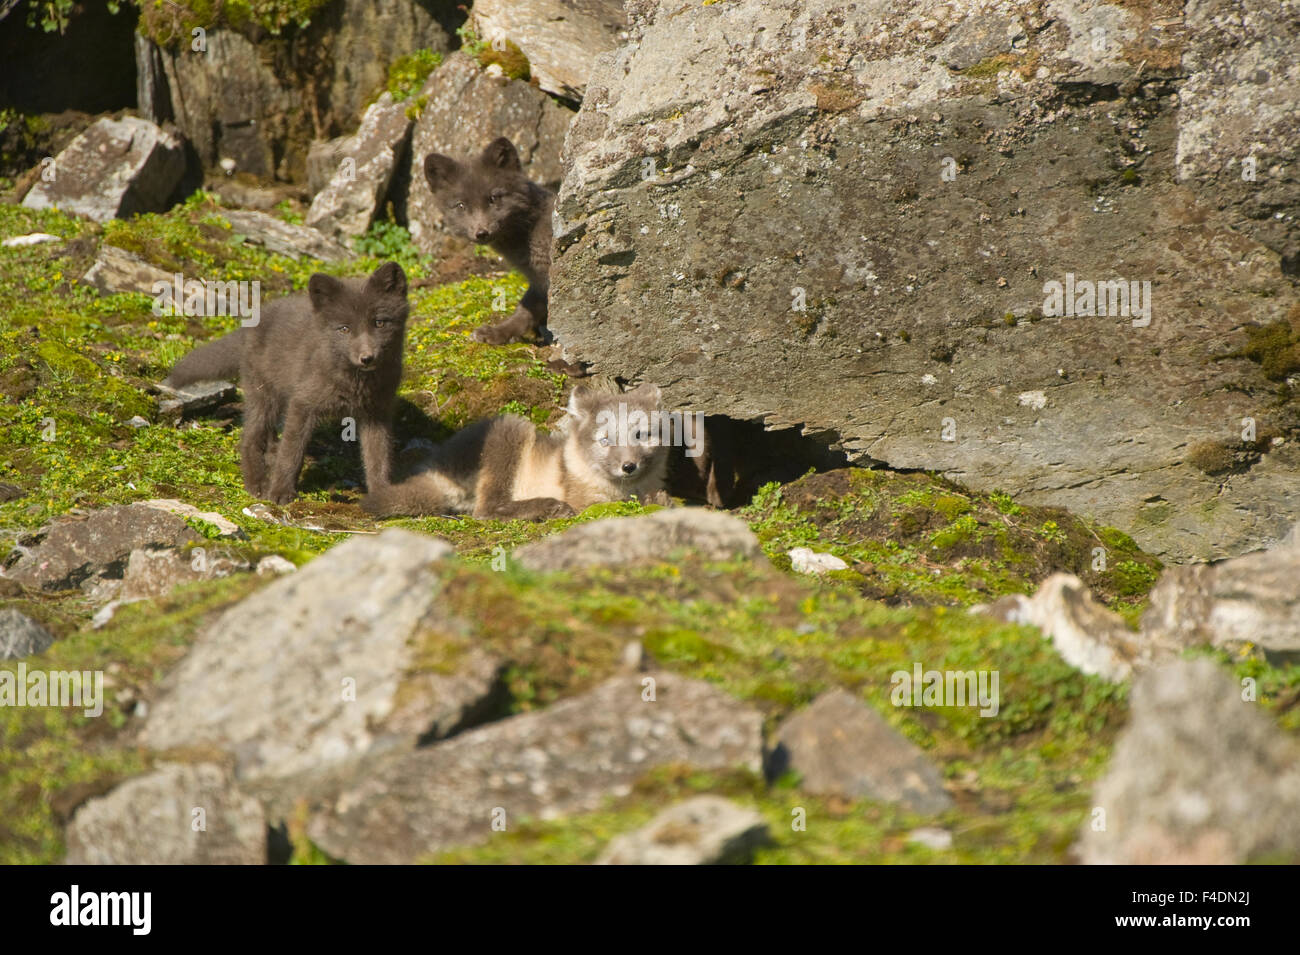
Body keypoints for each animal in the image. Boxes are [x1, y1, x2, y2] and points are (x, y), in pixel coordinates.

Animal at [164, 262, 409, 505]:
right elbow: (292, 451)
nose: (367, 358)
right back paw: (257, 484)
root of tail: (254, 321)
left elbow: (379, 459)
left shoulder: (377, 412)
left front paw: (382, 497)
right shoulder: (303, 403)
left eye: (379, 323)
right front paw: (280, 492)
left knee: (270, 439)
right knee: (250, 438)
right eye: (344, 329)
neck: (354, 383)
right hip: (263, 395)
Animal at [363, 382, 669, 520]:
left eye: (641, 435)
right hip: (511, 430)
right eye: (605, 441)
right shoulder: (586, 501)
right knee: (486, 509)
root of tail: (435, 466)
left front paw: (662, 500)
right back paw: (550, 507)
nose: (629, 466)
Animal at [423, 136, 552, 345]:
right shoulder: (538, 282)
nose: (481, 232)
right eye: (461, 205)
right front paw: (496, 334)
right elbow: (524, 311)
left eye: (493, 198)